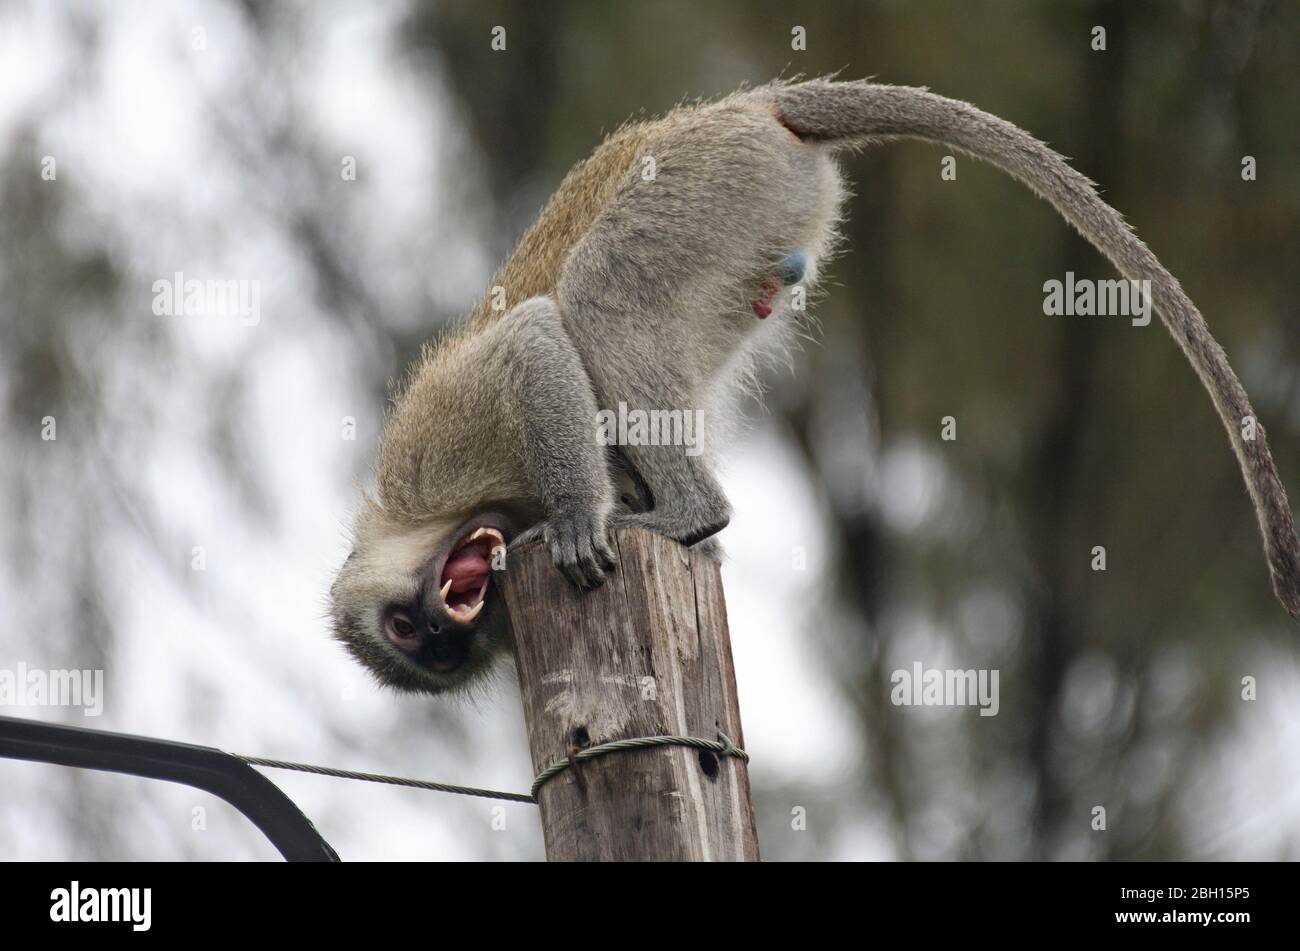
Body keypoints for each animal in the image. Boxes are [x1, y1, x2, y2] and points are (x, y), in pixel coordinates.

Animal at [329, 77, 1300, 695]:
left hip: (705, 188)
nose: (446, 636)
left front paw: (574, 513)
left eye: (414, 631)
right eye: (433, 653)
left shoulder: (437, 439)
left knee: (601, 301)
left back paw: (689, 512)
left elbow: (533, 340)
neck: (445, 513)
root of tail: (750, 105)